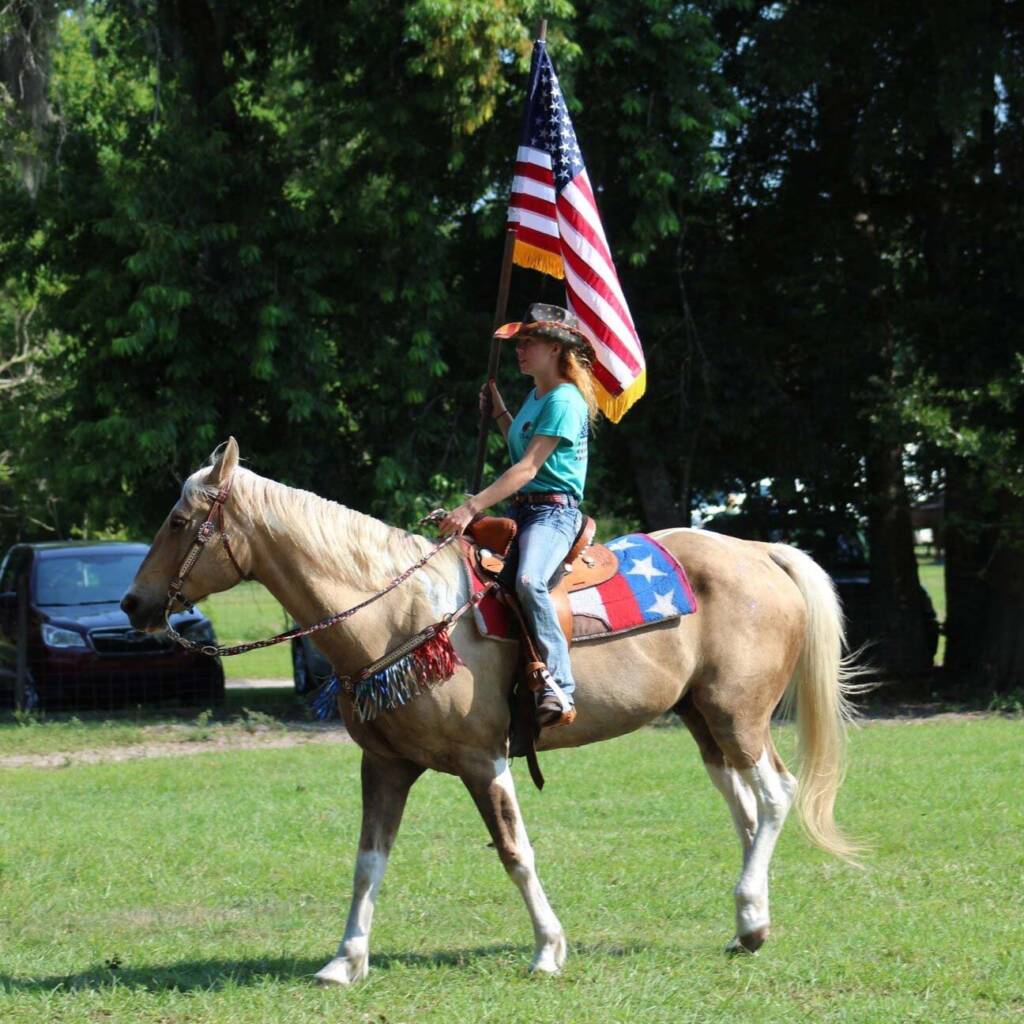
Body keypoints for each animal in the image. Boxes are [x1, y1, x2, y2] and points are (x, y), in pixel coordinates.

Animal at [121, 438, 861, 985]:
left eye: (180, 523)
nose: (134, 604)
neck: (401, 614)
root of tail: (759, 552)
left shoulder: (484, 760)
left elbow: (515, 851)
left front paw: (548, 949)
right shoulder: (385, 764)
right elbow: (368, 859)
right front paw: (345, 960)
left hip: (739, 716)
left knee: (775, 795)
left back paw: (749, 914)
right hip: (703, 721)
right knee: (746, 809)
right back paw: (750, 927)